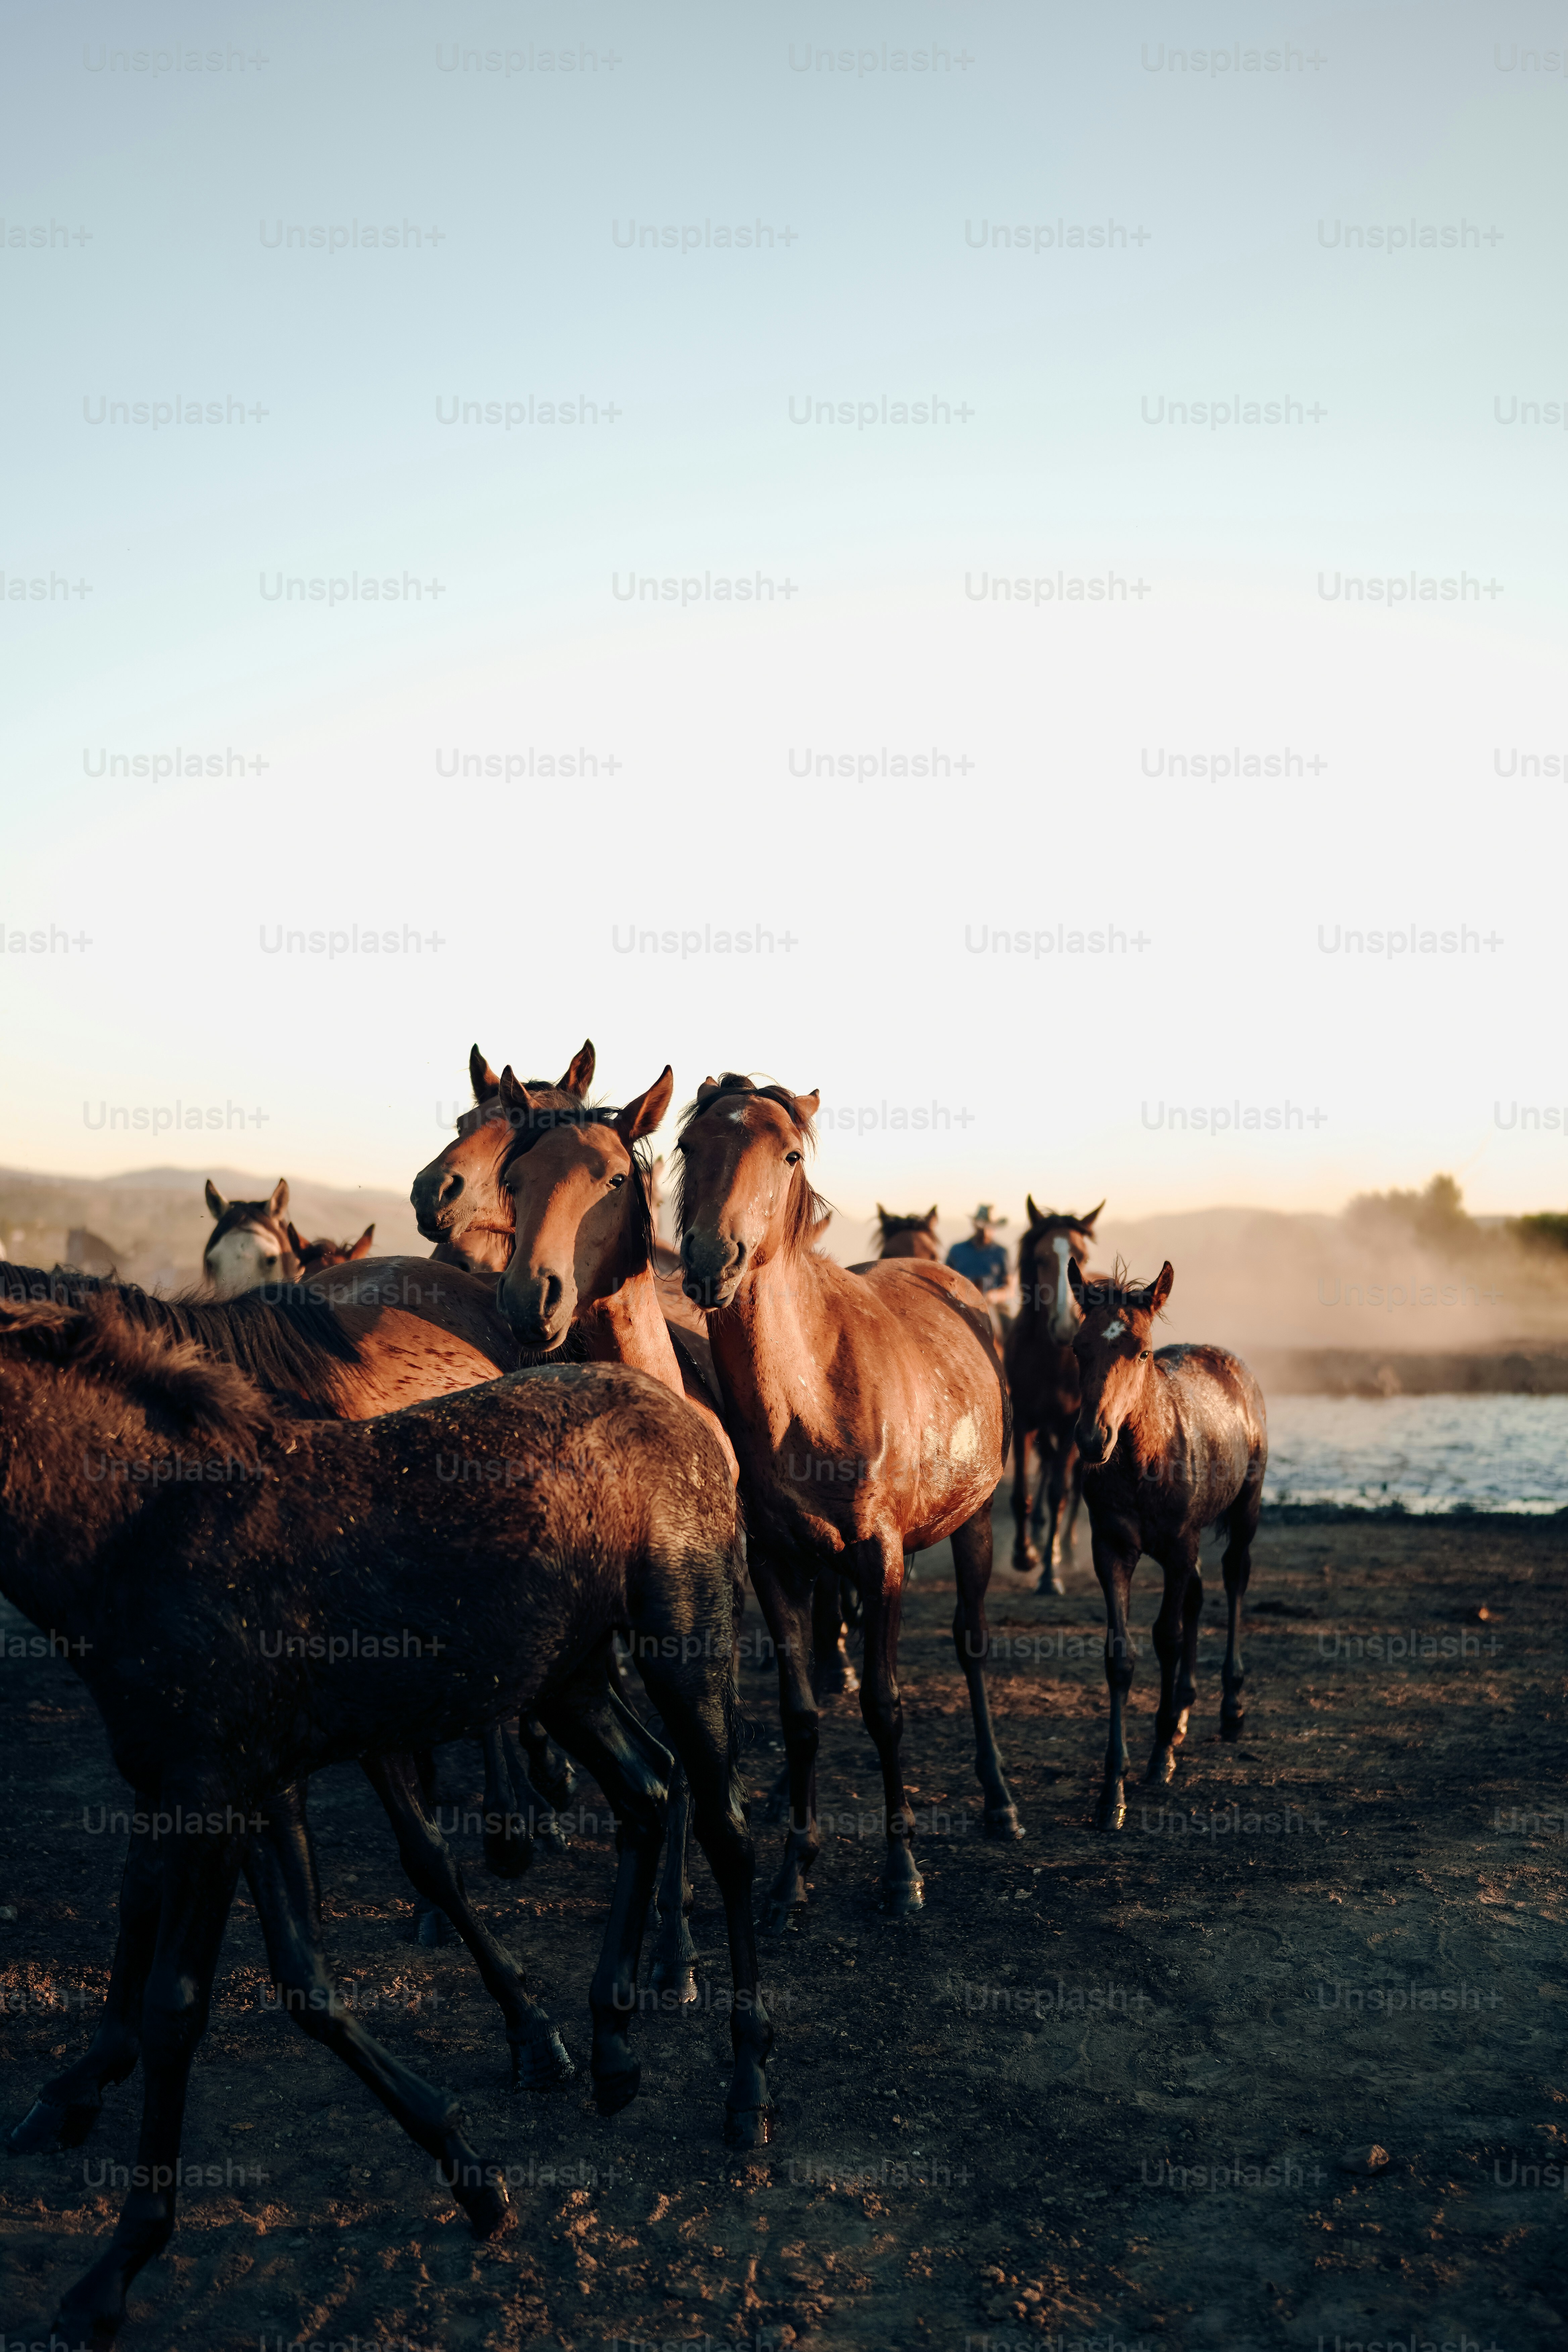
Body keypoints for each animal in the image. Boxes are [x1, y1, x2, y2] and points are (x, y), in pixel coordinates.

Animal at [0, 1292, 773, 2345]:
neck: (146, 1532)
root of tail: (682, 1410)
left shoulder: (210, 1794)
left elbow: (176, 2007)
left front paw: (111, 2272)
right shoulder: (227, 1790)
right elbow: (296, 1978)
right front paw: (471, 2172)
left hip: (686, 1646)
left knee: (726, 1829)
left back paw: (746, 2090)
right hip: (568, 1676)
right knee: (648, 1794)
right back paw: (611, 2050)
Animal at [1003, 1197, 1104, 1591]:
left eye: (1083, 1255)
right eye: (1041, 1258)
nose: (1064, 1326)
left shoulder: (1068, 1426)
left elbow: (1058, 1493)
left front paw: (1049, 1573)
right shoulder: (1024, 1420)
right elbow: (1021, 1494)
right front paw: (1024, 1555)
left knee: (1073, 1486)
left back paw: (1068, 1551)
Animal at [1066, 1256, 1267, 1831]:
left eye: (1141, 1351)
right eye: (1079, 1347)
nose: (1093, 1439)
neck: (1145, 1458)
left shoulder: (1179, 1546)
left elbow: (1168, 1637)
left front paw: (1160, 1759)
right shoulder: (1112, 1548)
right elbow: (1121, 1656)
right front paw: (1111, 1793)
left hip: (1244, 1509)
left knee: (1235, 1578)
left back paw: (1230, 1707)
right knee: (1199, 1596)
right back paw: (1182, 1712)